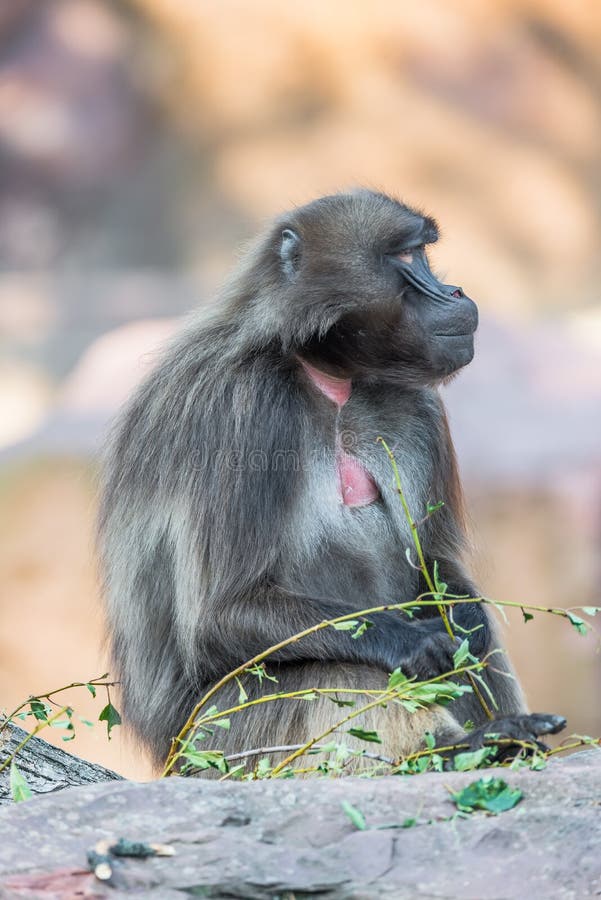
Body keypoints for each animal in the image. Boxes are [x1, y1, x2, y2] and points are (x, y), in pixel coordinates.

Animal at [98, 190, 565, 775]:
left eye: (424, 252)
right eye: (407, 256)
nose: (457, 291)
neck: (320, 370)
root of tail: (168, 756)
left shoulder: (417, 408)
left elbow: (436, 570)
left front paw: (463, 619)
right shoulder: (244, 409)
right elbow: (218, 616)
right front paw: (410, 644)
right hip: (215, 743)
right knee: (336, 671)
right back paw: (461, 746)